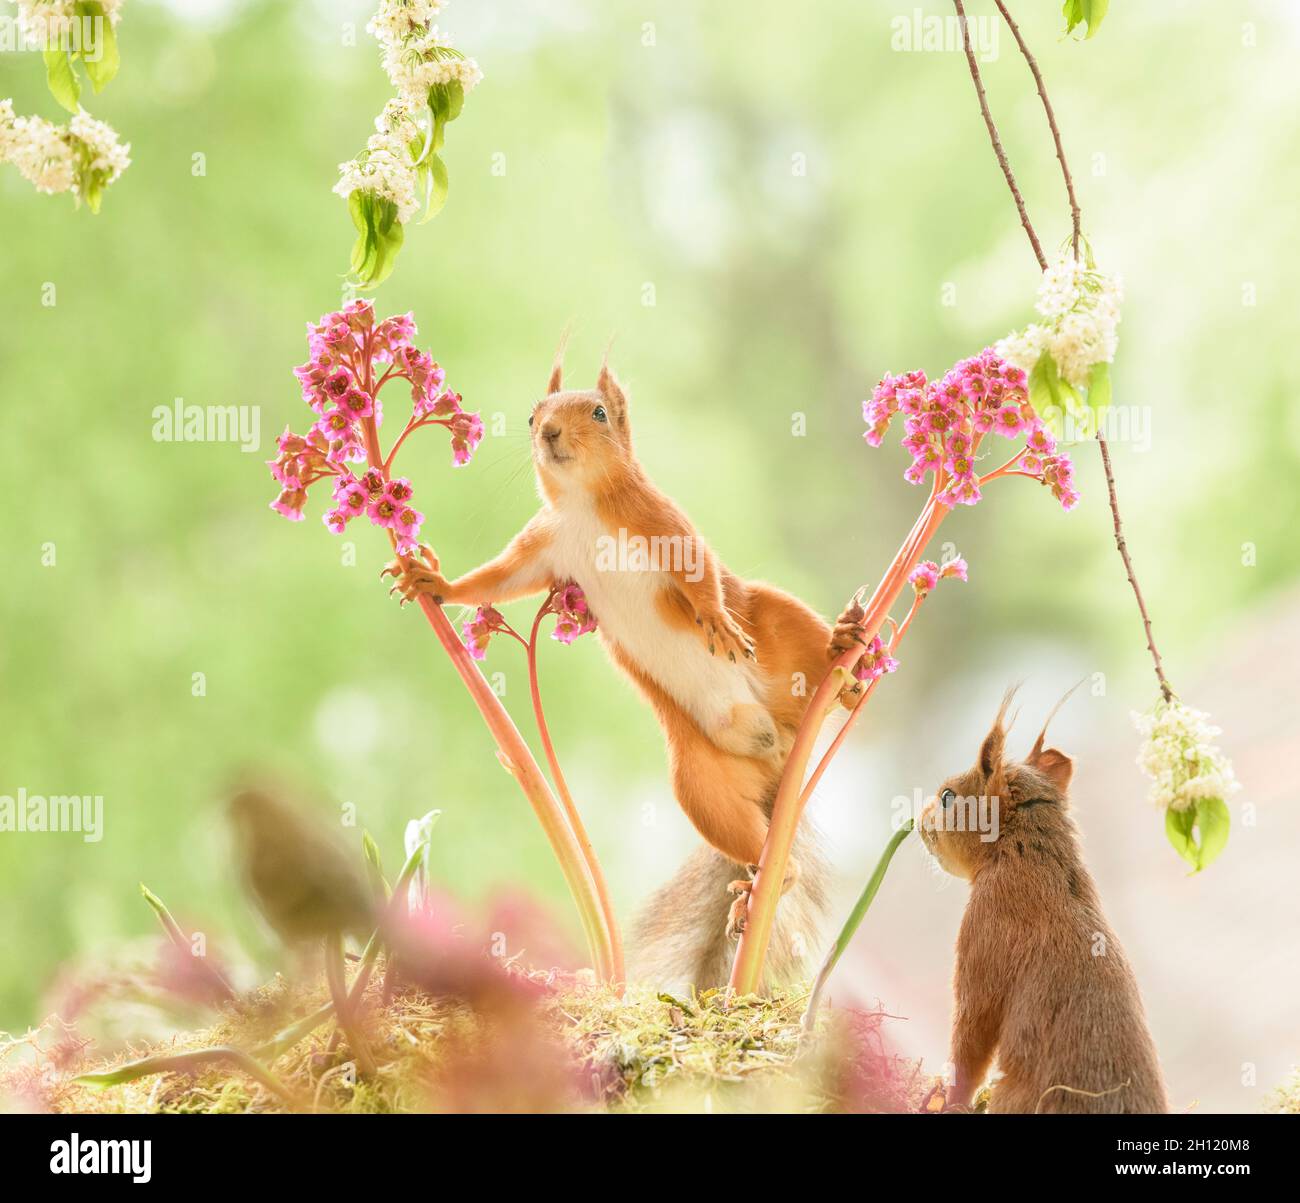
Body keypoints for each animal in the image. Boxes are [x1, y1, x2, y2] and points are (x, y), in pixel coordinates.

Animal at [384, 349, 869, 989]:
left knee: (815, 659)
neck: (586, 505)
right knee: (750, 838)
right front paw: (431, 581)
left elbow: (697, 569)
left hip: (780, 628)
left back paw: (849, 663)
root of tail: (782, 745)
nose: (549, 433)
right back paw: (762, 884)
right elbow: (496, 580)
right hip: (703, 786)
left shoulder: (659, 521)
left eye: (598, 413)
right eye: (534, 413)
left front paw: (715, 619)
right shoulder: (544, 547)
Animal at [919, 688, 1170, 1114]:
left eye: (948, 797)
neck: (1026, 854)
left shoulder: (986, 930)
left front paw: (946, 1096)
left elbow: (972, 1035)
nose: (918, 824)